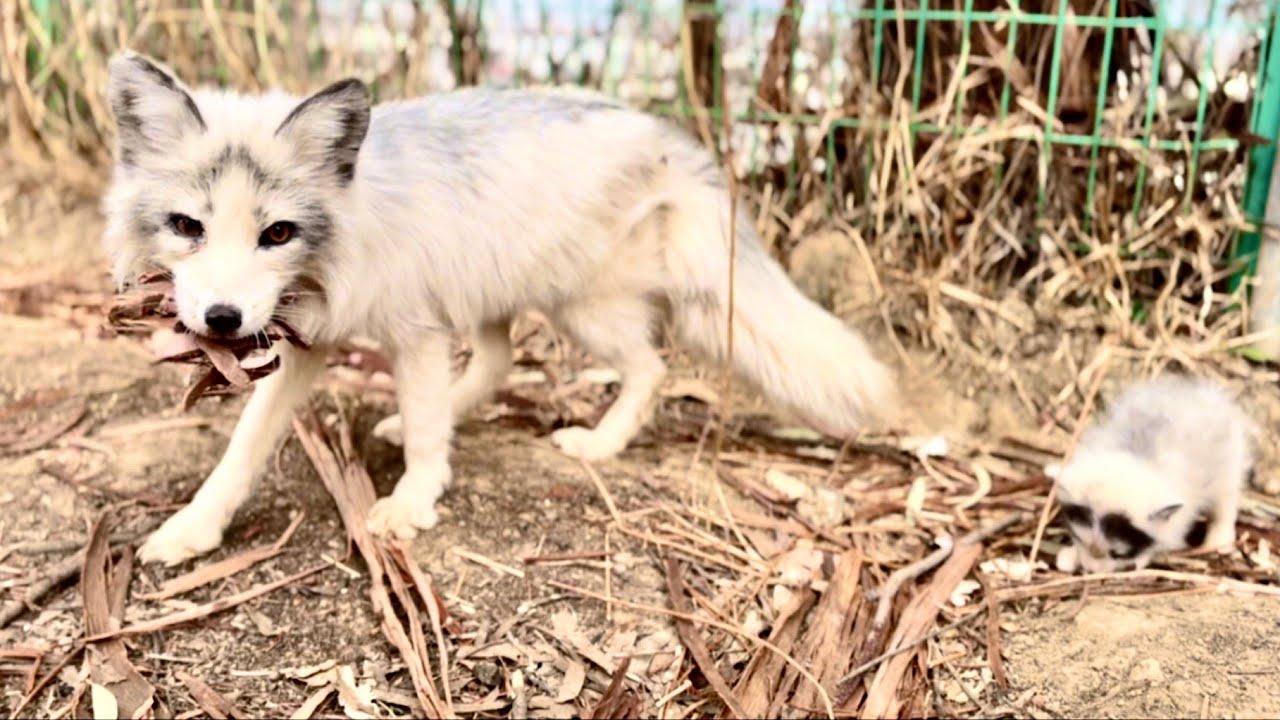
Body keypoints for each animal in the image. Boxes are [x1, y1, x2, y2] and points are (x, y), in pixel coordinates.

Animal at [100, 52, 900, 565]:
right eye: (187, 226)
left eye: (276, 233)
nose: (222, 321)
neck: (350, 225)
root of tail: (669, 132)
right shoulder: (310, 342)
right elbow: (244, 448)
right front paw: (193, 530)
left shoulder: (414, 331)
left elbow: (427, 437)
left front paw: (412, 505)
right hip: (490, 290)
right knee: (500, 359)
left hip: (582, 310)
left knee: (649, 366)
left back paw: (599, 443)